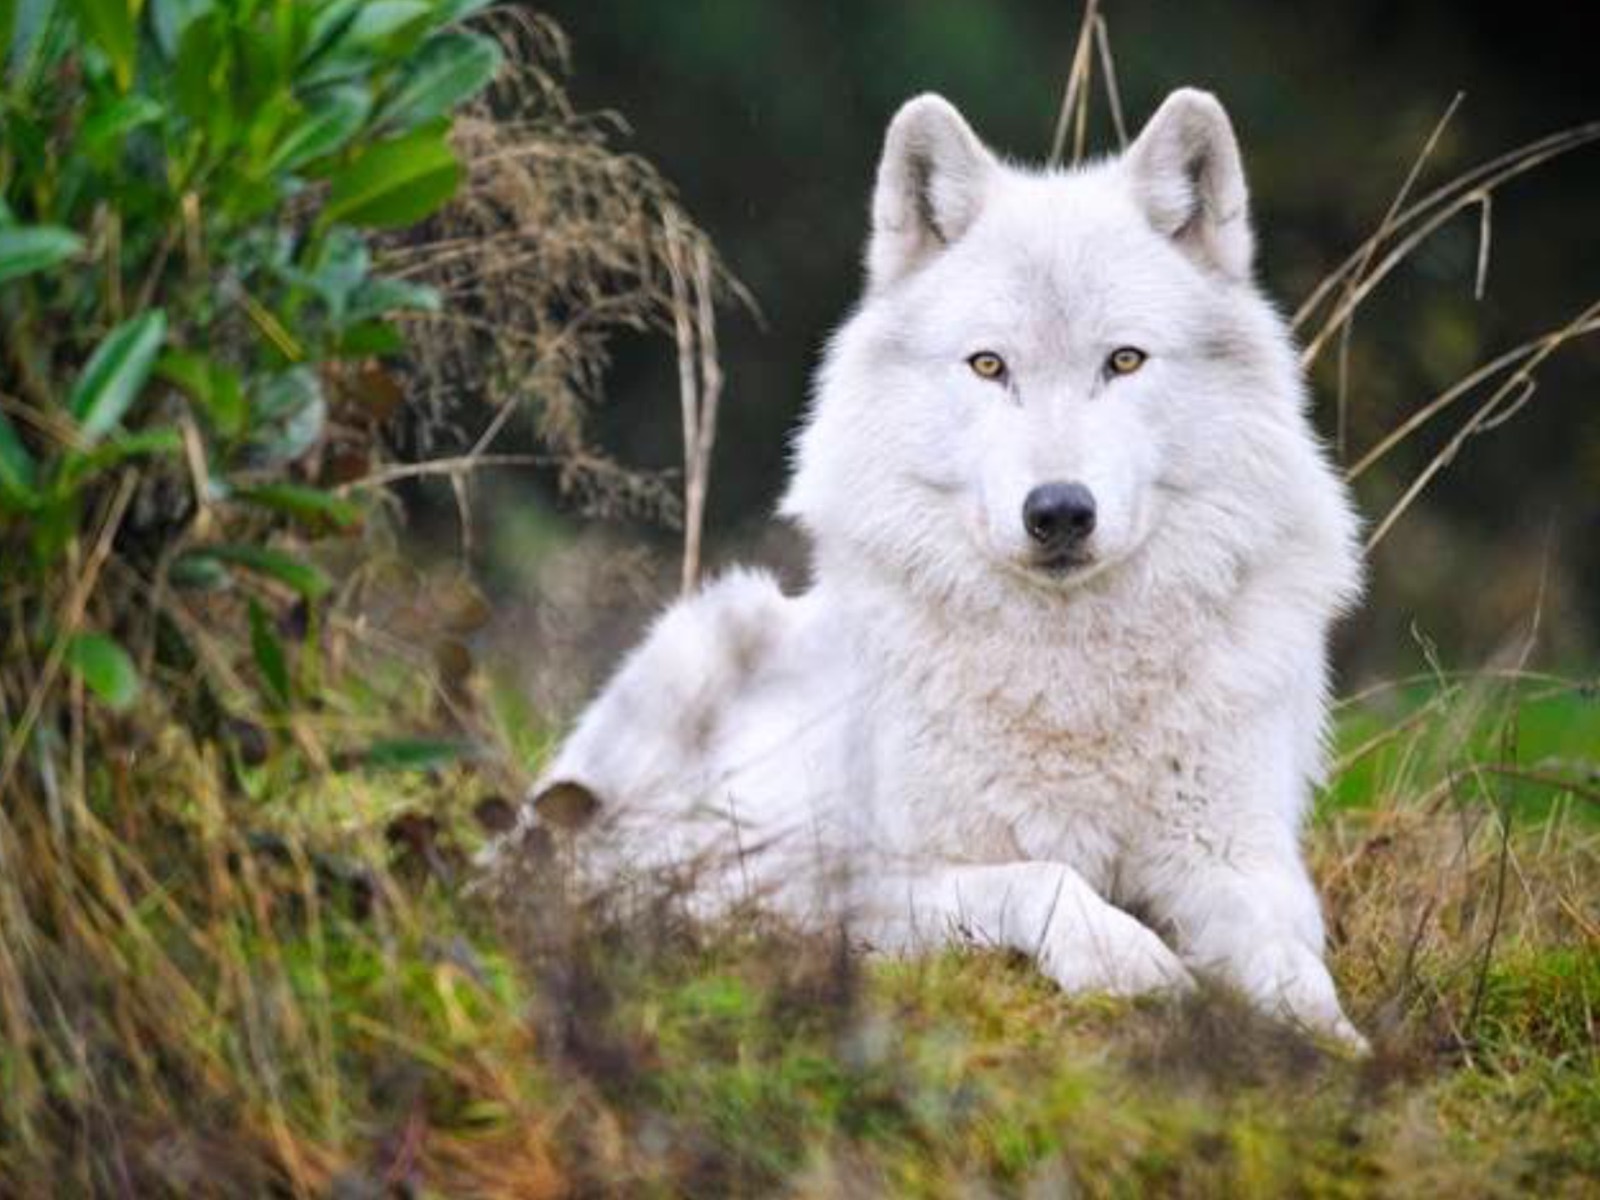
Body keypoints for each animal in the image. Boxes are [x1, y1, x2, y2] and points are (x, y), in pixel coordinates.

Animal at [503, 89, 1366, 1048]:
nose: (1058, 511)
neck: (1069, 683)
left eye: (1124, 361)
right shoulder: (835, 879)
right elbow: (1043, 878)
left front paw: (1331, 1038)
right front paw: (1129, 959)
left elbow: (1290, 960)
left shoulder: (1241, 859)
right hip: (704, 643)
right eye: (989, 365)